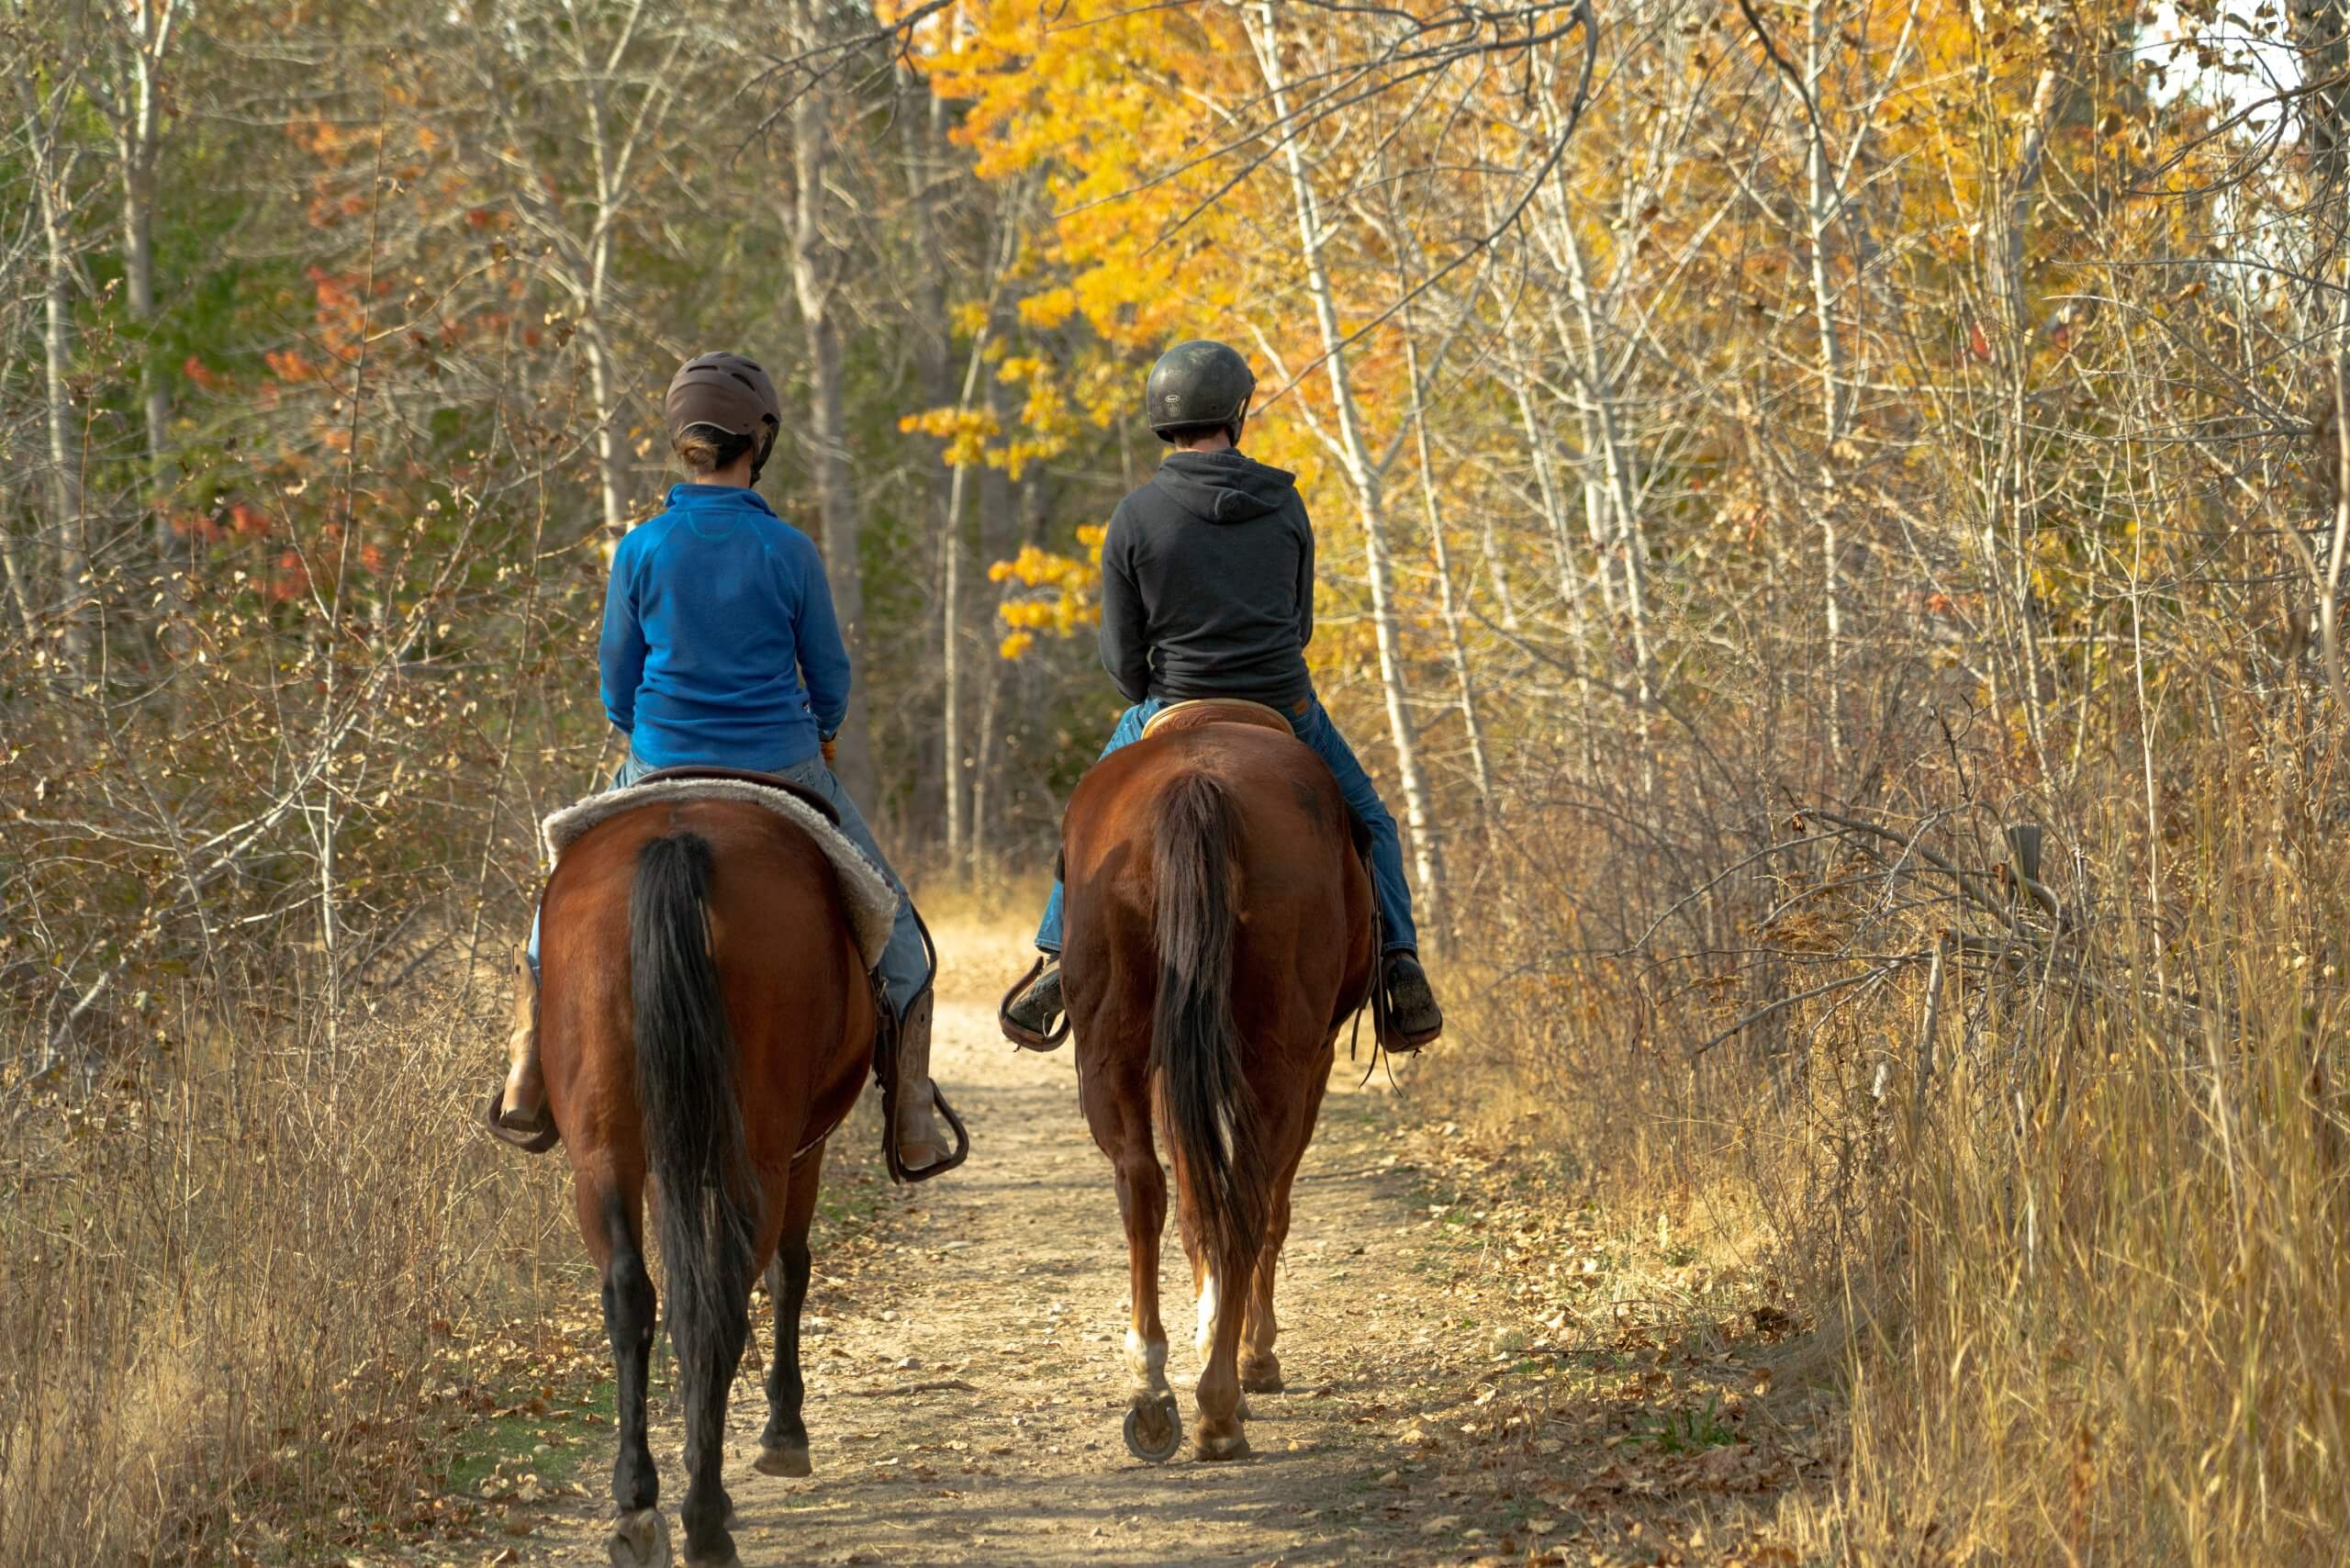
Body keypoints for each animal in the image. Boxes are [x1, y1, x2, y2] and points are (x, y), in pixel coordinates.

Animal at [540, 803, 883, 1561]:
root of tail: (679, 838)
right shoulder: (801, 1152)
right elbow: (790, 1269)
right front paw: (783, 1433)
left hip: (604, 1150)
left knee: (633, 1293)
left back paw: (639, 1502)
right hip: (757, 1155)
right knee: (726, 1299)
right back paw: (705, 1516)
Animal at [1062, 705, 1372, 1466]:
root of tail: (1196, 784)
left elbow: (1193, 1203)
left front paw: (1208, 1335)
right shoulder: (1315, 1062)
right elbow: (1260, 1207)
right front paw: (1249, 1352)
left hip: (1111, 1048)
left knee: (1145, 1185)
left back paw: (1153, 1391)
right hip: (1280, 1061)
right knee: (1251, 1200)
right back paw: (1223, 1403)